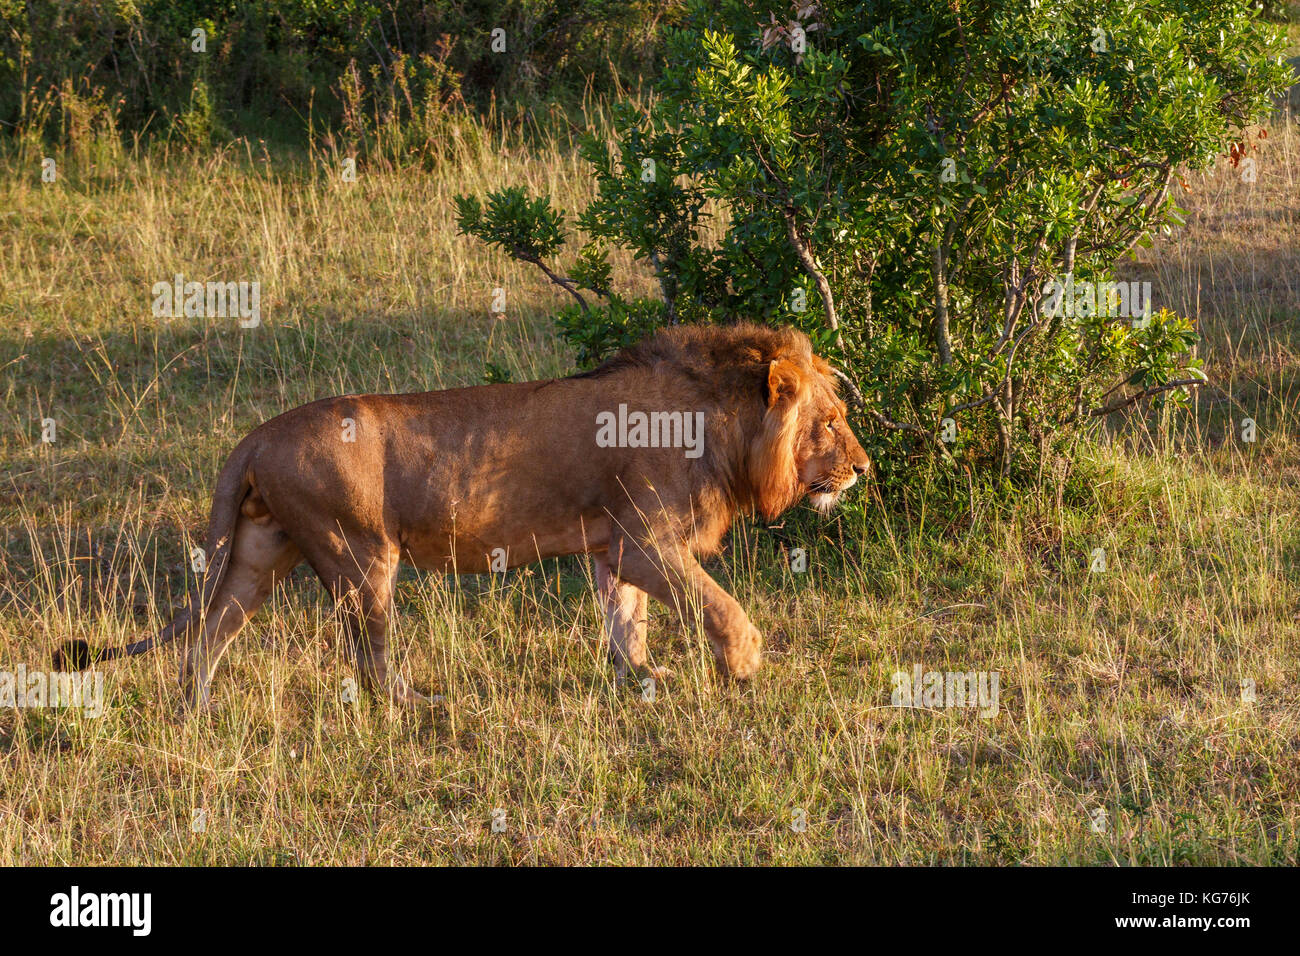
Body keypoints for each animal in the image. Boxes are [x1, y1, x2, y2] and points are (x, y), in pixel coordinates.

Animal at [54, 322, 870, 710]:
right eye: (829, 423)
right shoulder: (647, 540)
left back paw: (197, 714)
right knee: (372, 660)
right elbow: (720, 605)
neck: (721, 424)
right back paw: (418, 705)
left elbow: (627, 619)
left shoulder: (612, 547)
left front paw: (642, 677)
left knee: (209, 634)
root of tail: (256, 434)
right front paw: (745, 665)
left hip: (263, 548)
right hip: (360, 554)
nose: (863, 469)